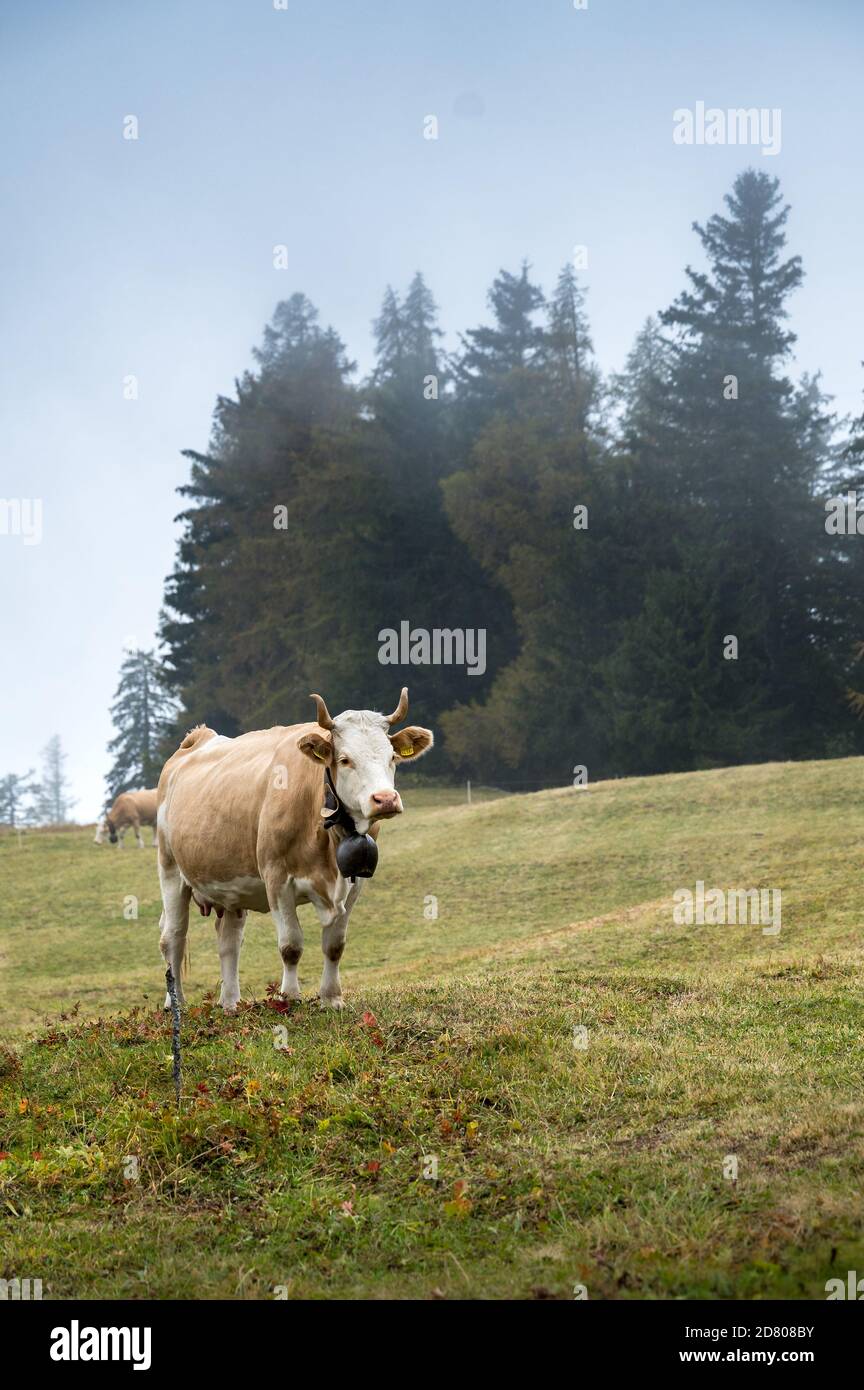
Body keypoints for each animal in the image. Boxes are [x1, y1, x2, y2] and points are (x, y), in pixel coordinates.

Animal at [155, 688, 433, 1012]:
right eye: (345, 759)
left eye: (392, 757)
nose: (385, 799)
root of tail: (198, 738)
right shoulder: (277, 878)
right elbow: (291, 945)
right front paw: (289, 997)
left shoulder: (354, 884)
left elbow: (335, 946)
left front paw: (332, 998)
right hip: (171, 870)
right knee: (172, 937)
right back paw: (175, 1003)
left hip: (230, 887)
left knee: (229, 942)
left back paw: (231, 1003)